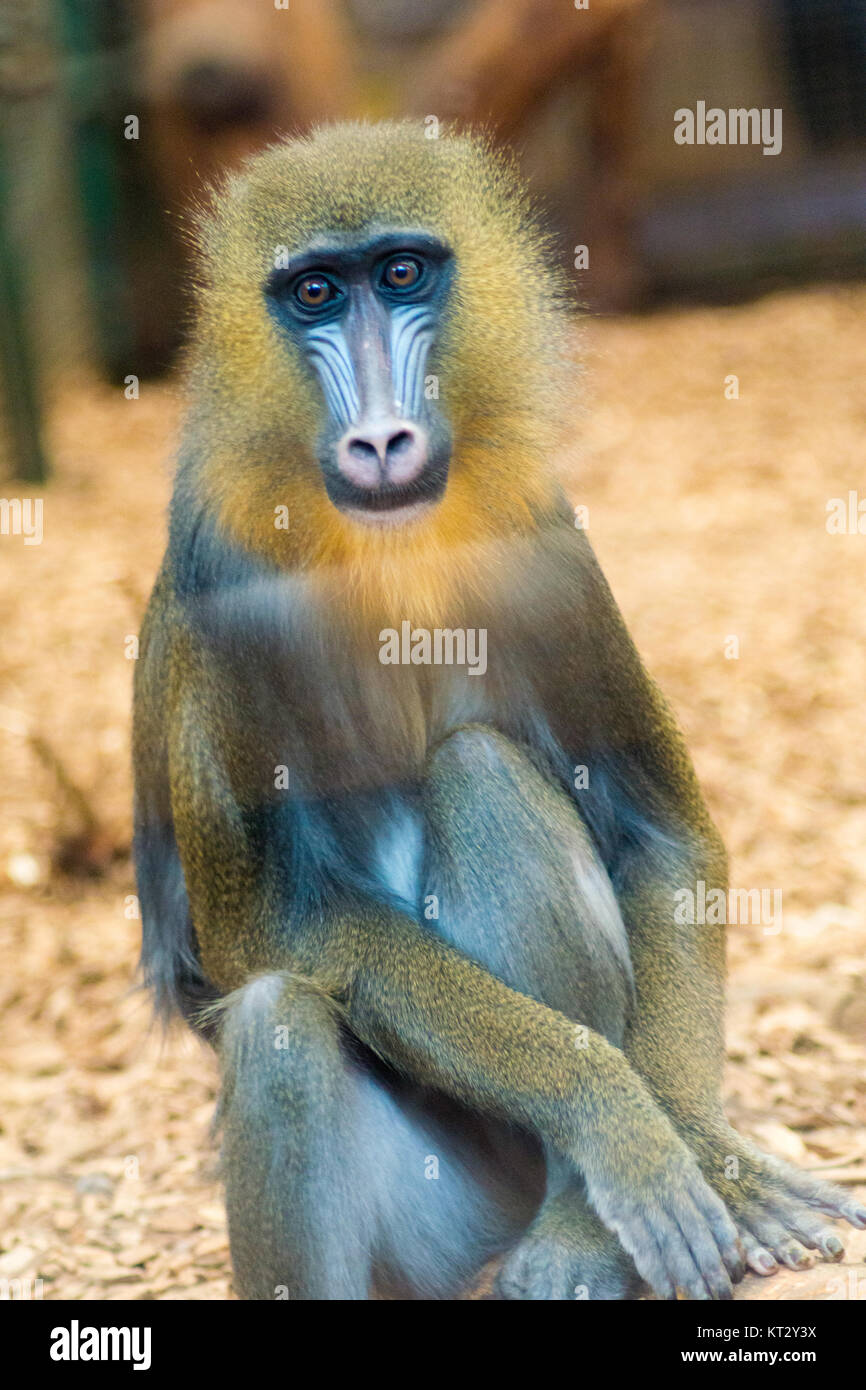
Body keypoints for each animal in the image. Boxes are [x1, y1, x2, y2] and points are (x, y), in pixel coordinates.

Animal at [133, 121, 866, 1300]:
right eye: (313, 293)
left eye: (400, 274)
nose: (381, 441)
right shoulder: (224, 565)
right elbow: (276, 932)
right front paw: (613, 1115)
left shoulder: (541, 537)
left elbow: (660, 832)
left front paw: (709, 1155)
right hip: (444, 1214)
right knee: (282, 1023)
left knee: (478, 770)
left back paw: (573, 1228)